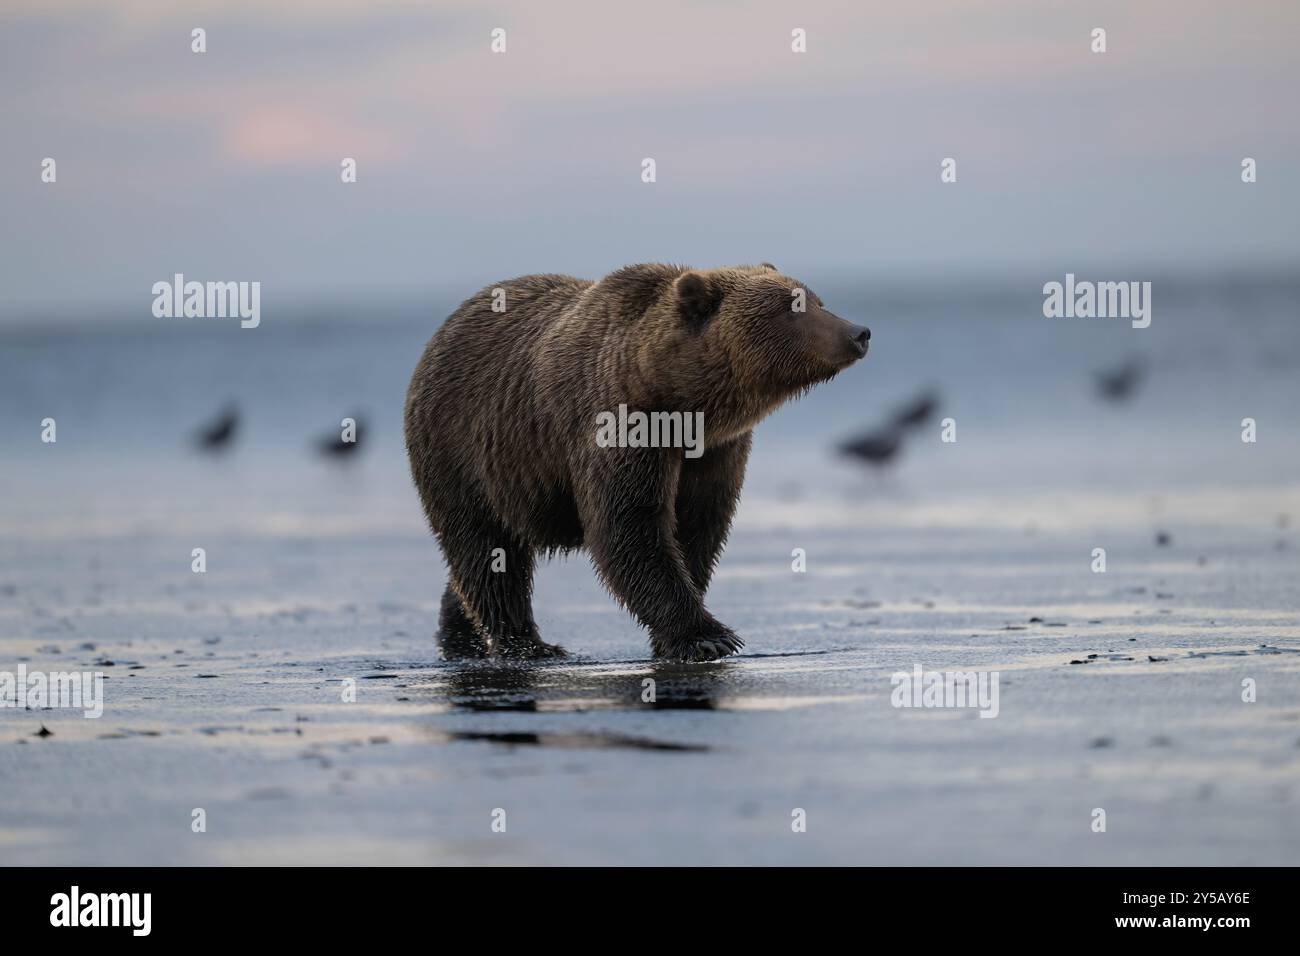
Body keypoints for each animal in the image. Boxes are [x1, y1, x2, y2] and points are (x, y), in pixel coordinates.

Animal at [404, 263, 869, 661]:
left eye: (817, 299)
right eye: (793, 306)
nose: (859, 331)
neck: (684, 402)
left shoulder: (717, 451)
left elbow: (698, 527)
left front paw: (678, 636)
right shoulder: (621, 424)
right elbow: (630, 525)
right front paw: (707, 637)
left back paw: (460, 638)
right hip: (461, 448)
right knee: (485, 549)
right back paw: (528, 644)